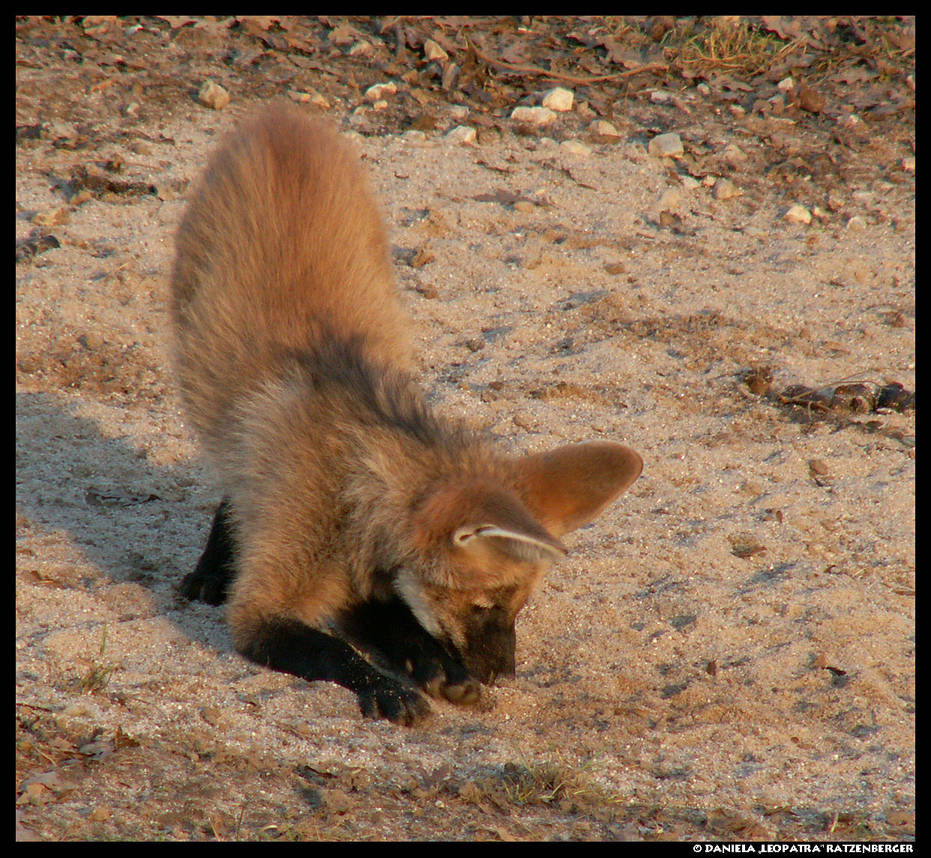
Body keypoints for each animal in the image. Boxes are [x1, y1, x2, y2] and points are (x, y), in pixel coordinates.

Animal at [170, 105, 642, 725]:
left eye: (518, 605)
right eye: (482, 604)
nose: (504, 676)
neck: (353, 493)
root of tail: (280, 116)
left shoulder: (368, 573)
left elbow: (395, 622)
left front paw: (435, 667)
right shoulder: (263, 606)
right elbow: (333, 649)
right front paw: (387, 688)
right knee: (227, 472)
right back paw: (210, 567)